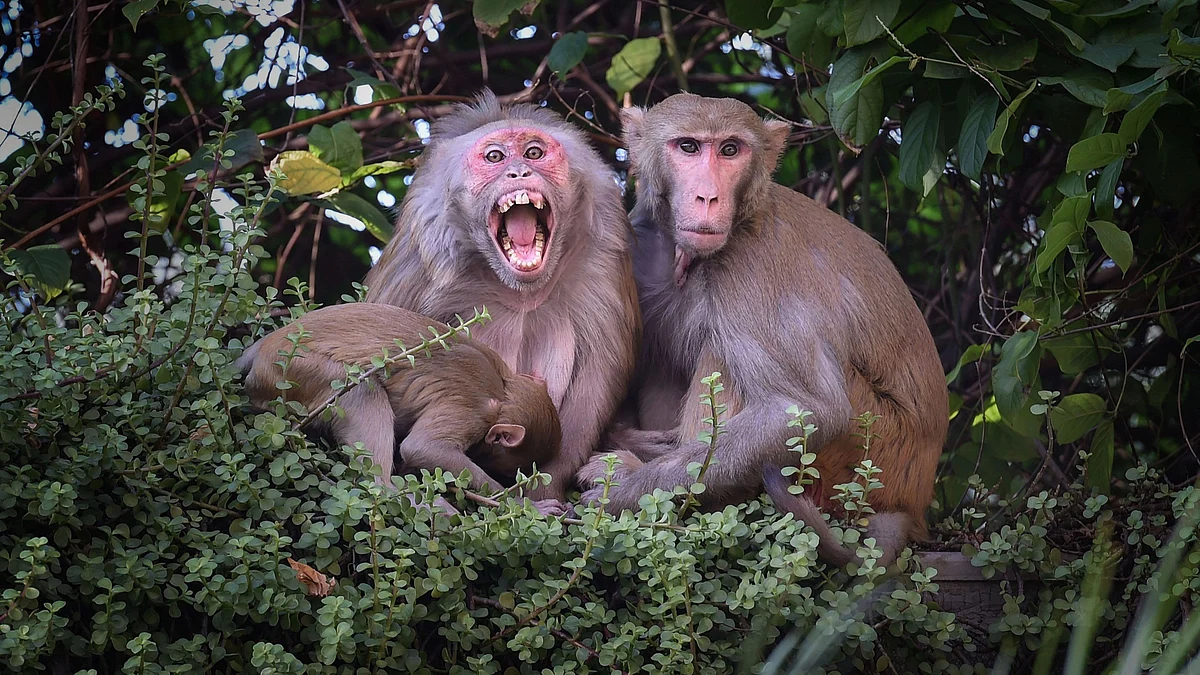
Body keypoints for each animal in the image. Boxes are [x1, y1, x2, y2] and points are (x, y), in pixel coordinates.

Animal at [238, 303, 563, 509]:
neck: (504, 387)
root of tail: (265, 347)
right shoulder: (473, 412)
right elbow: (423, 448)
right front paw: (517, 503)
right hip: (294, 371)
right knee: (361, 391)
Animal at [357, 90, 641, 503]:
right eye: (495, 157)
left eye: (534, 152)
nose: (519, 172)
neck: (518, 289)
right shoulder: (423, 251)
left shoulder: (604, 248)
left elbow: (598, 374)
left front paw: (544, 492)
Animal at [578, 93, 948, 567]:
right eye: (688, 147)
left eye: (730, 150)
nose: (708, 196)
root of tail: (913, 501)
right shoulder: (636, 249)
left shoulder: (748, 264)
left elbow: (803, 409)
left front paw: (622, 491)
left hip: (870, 454)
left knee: (724, 358)